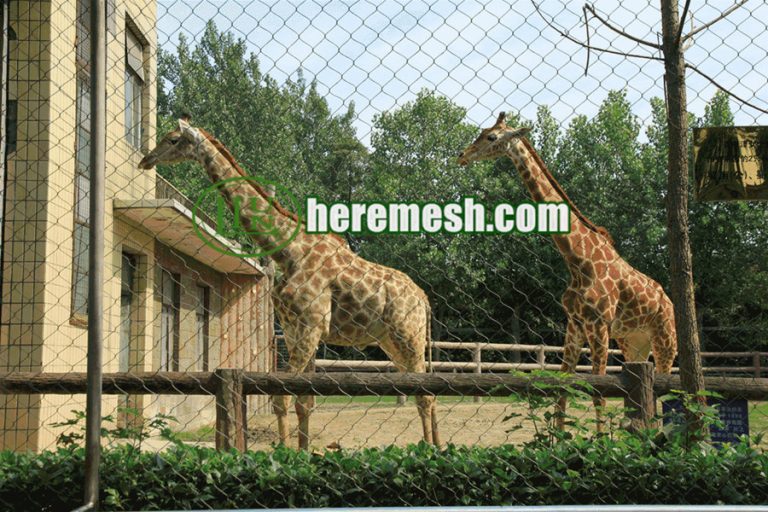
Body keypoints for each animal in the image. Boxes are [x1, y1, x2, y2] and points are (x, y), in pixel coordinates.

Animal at [139, 118, 440, 449]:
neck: (287, 250)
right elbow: (302, 402)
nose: (146, 160)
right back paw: (436, 446)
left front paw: (284, 452)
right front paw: (301, 452)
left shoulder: (311, 326)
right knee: (427, 392)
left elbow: (282, 397)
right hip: (390, 341)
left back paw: (431, 450)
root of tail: (424, 299)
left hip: (409, 335)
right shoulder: (296, 329)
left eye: (173, 139)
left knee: (426, 394)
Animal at [457, 112, 677, 430]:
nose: (462, 155)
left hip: (664, 338)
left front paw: (601, 440)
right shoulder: (575, 325)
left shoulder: (598, 326)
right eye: (483, 131)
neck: (577, 261)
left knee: (668, 386)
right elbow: (561, 388)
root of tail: (668, 301)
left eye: (492, 137)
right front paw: (559, 438)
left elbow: (598, 393)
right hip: (633, 342)